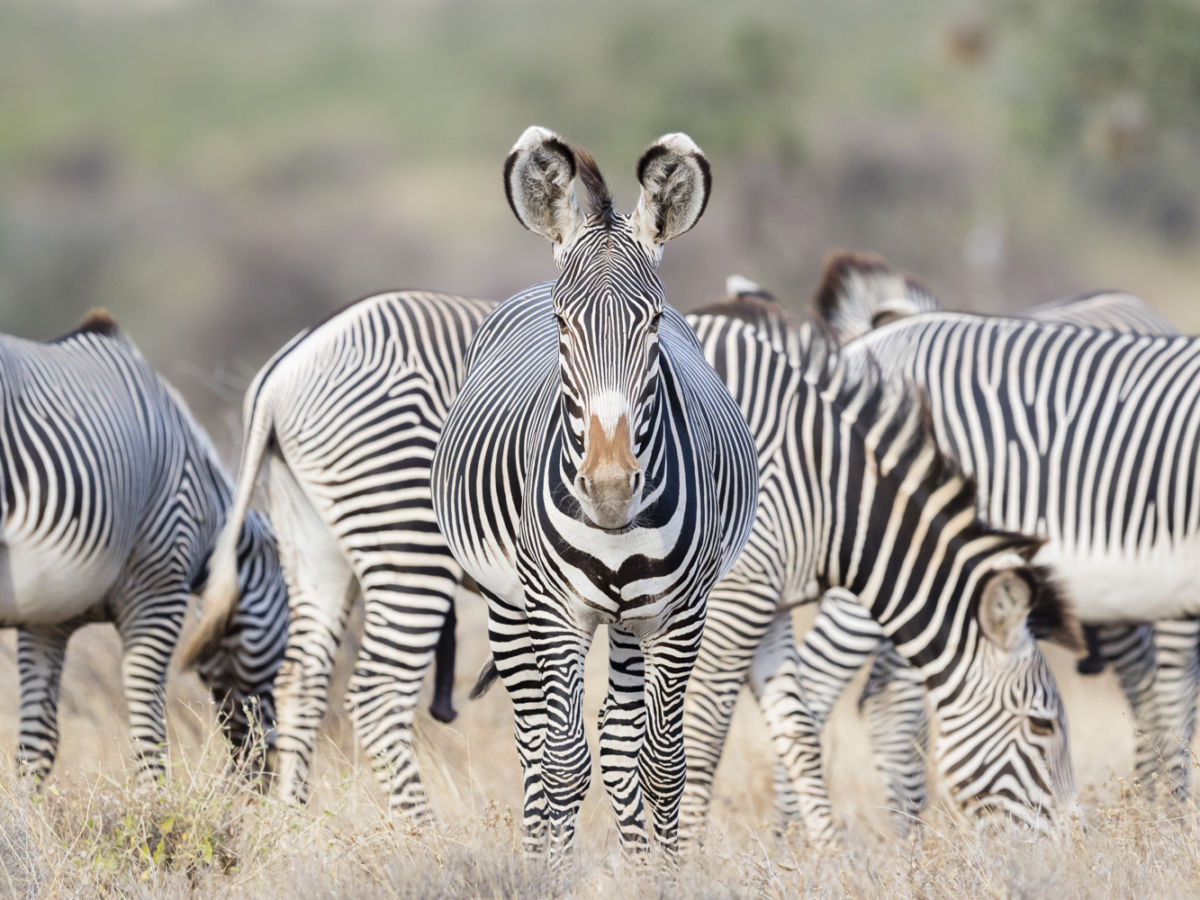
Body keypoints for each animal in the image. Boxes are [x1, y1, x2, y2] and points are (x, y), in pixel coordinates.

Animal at [0, 311, 288, 785]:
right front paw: (157, 801)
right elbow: (149, 734)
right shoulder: (158, 589)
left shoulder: (46, 619)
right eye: (287, 644)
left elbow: (37, 746)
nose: (262, 770)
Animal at [178, 289, 492, 818]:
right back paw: (427, 833)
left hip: (311, 537)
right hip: (408, 522)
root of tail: (279, 376)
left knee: (299, 680)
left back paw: (293, 822)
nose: (247, 778)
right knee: (379, 695)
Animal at [431, 127, 759, 860]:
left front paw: (662, 873)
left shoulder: (680, 614)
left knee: (617, 739)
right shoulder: (555, 613)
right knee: (536, 745)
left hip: (629, 621)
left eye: (655, 323)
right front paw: (549, 870)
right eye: (562, 323)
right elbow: (561, 763)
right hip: (506, 604)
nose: (609, 487)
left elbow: (661, 762)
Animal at [676, 305, 1080, 847]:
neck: (829, 494)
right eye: (1042, 726)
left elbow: (799, 733)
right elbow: (703, 736)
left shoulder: (770, 599)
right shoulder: (738, 595)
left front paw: (827, 857)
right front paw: (684, 856)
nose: (1074, 848)